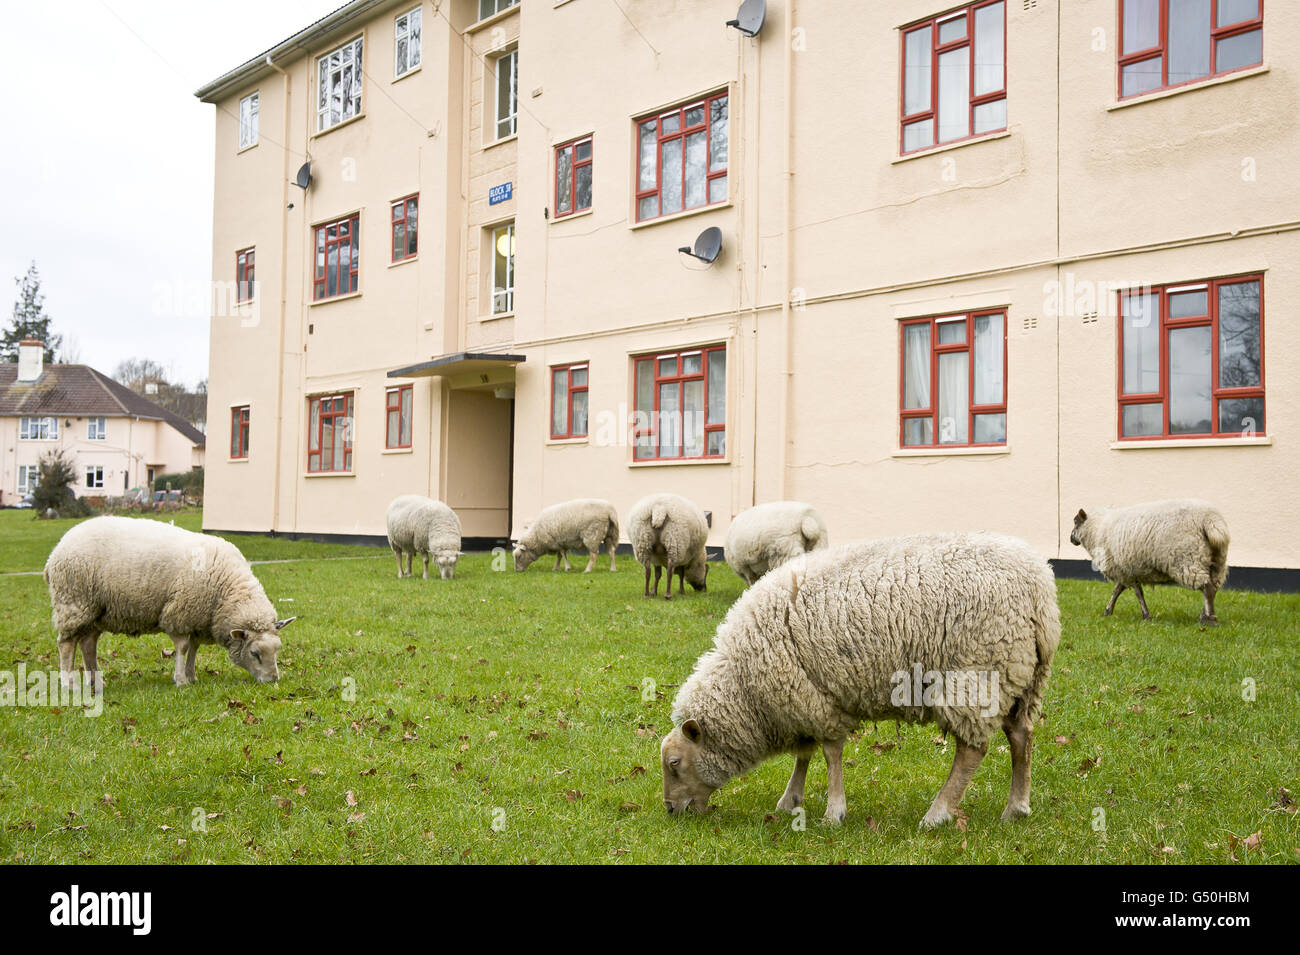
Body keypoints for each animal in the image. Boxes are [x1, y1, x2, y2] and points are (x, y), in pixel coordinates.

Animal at [44, 516, 294, 691]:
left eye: (277, 650)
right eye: (254, 653)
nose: (273, 680)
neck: (225, 589)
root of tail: (55, 551)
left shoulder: (197, 618)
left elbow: (194, 647)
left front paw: (192, 676)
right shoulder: (180, 613)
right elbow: (183, 647)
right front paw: (181, 680)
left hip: (95, 611)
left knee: (88, 644)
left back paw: (96, 682)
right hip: (73, 601)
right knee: (66, 644)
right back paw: (69, 684)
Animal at [660, 532, 1061, 828]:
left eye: (675, 764)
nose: (669, 810)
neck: (745, 688)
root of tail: (1040, 586)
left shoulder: (815, 699)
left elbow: (830, 753)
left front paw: (833, 812)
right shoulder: (804, 699)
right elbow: (804, 753)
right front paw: (791, 799)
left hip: (975, 673)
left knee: (972, 750)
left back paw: (937, 813)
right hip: (1016, 675)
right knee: (1021, 737)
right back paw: (1015, 808)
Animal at [1069, 498, 1230, 625]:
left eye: (1076, 522)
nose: (1071, 539)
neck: (1097, 529)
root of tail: (1212, 521)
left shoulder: (1125, 570)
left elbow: (1137, 593)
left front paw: (1146, 616)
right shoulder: (1125, 571)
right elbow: (1117, 590)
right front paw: (1107, 611)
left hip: (1187, 558)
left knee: (1207, 587)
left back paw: (1211, 620)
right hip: (1217, 560)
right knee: (1213, 587)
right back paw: (1204, 615)